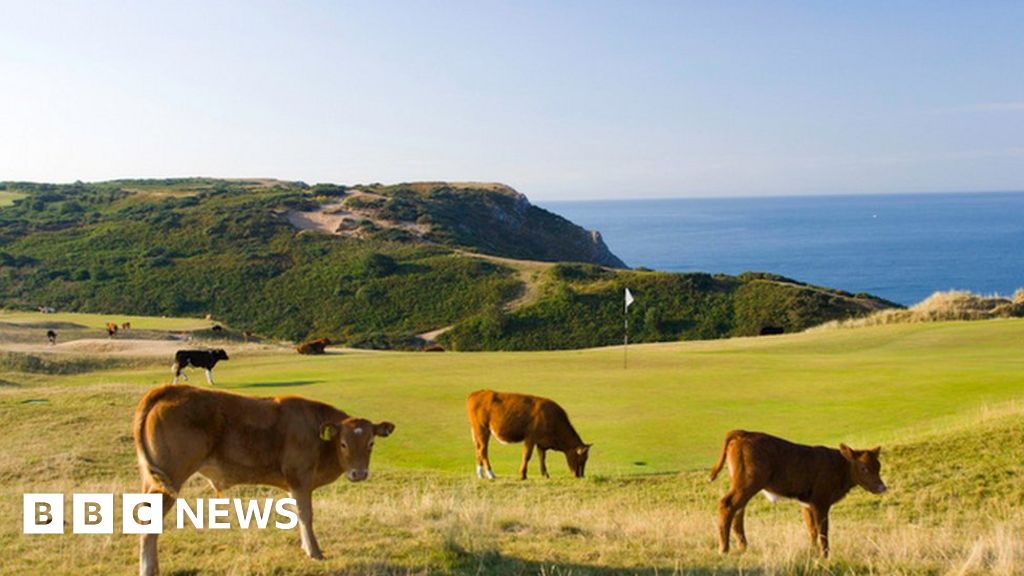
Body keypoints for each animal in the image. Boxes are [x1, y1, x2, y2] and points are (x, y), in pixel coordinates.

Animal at [133, 384, 395, 576]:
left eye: (371, 443)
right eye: (343, 444)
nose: (359, 473)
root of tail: (171, 390)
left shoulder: (294, 485)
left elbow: (298, 515)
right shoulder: (300, 479)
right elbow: (306, 515)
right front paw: (314, 551)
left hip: (152, 481)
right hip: (169, 480)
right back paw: (149, 569)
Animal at [709, 430, 887, 557]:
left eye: (878, 467)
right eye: (864, 468)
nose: (882, 487)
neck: (838, 466)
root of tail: (744, 433)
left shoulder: (807, 503)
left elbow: (812, 530)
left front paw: (813, 552)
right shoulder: (821, 502)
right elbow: (822, 530)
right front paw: (825, 555)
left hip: (743, 485)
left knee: (739, 510)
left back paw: (743, 546)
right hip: (747, 483)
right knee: (728, 505)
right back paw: (724, 549)